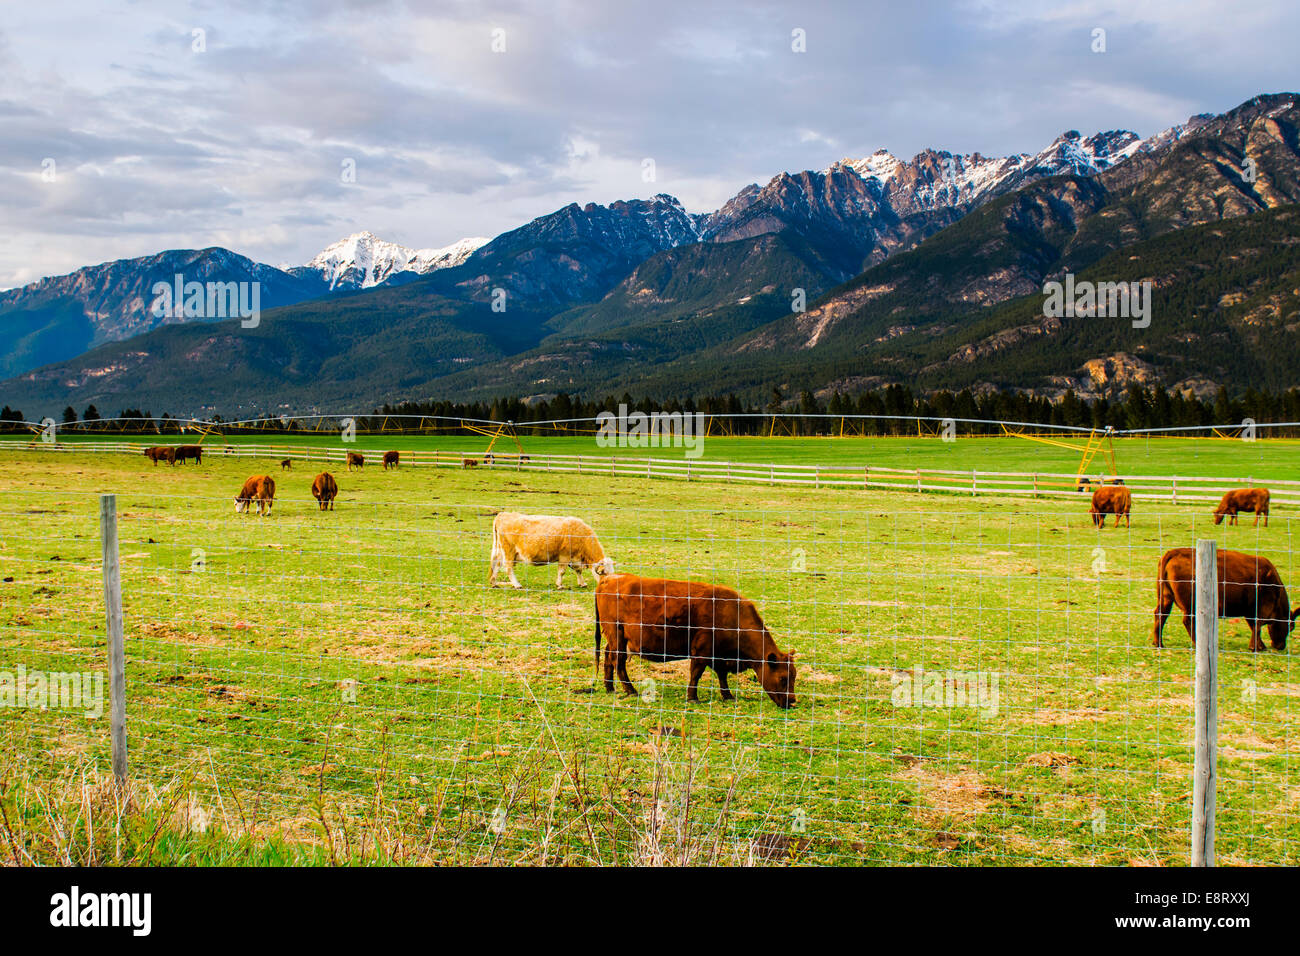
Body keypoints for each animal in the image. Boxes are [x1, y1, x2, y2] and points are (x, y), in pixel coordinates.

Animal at [594, 574, 797, 709]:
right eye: (783, 678)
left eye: (793, 675)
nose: (792, 701)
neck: (731, 613)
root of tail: (610, 578)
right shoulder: (702, 651)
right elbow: (696, 674)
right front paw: (693, 697)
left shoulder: (718, 655)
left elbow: (722, 675)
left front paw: (728, 695)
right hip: (617, 635)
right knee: (618, 662)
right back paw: (630, 690)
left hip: (614, 637)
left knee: (608, 657)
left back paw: (609, 688)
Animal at [1152, 547, 1298, 651]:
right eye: (1290, 627)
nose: (1280, 646)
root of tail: (1175, 552)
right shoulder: (1262, 606)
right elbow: (1257, 626)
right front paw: (1256, 647)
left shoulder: (1250, 609)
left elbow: (1253, 626)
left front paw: (1260, 645)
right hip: (1190, 604)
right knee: (1187, 621)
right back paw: (1196, 642)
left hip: (1166, 598)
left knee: (1160, 615)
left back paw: (1158, 642)